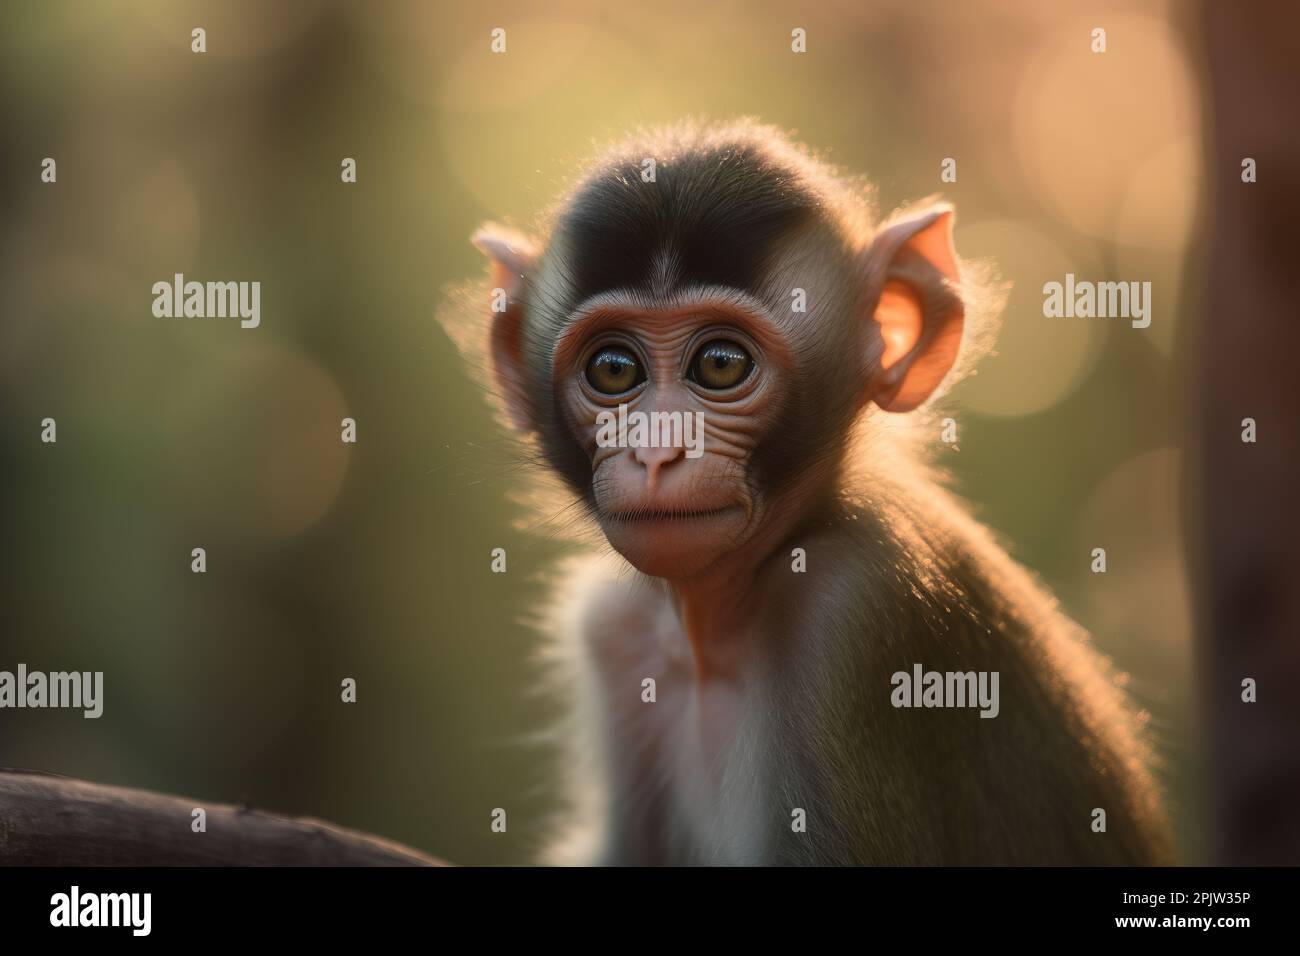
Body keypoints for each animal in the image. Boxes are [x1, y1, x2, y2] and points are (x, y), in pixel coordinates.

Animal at [449, 119, 1173, 865]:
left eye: (720, 363)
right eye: (614, 369)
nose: (656, 451)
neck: (717, 627)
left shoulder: (858, 613)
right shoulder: (614, 632)